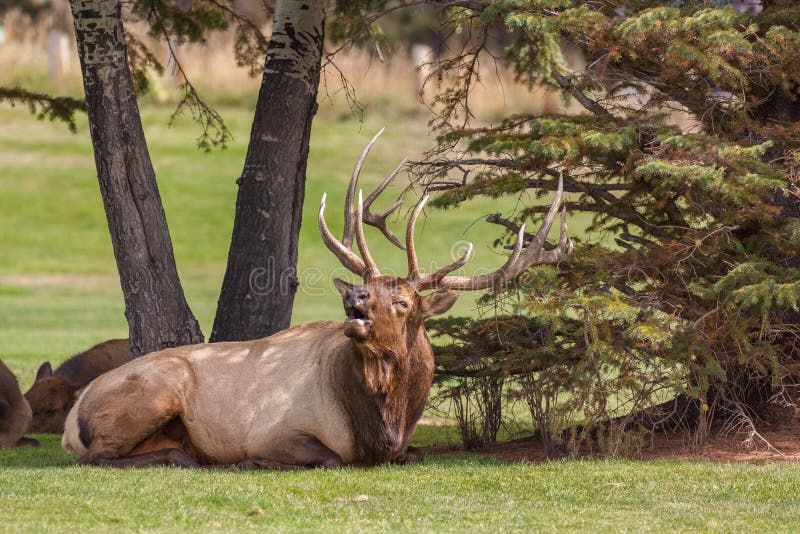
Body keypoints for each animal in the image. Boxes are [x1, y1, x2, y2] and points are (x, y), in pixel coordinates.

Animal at [61, 131, 569, 468]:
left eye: (403, 302)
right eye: (369, 286)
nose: (356, 297)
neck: (383, 423)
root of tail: (70, 420)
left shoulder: (405, 447)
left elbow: (415, 455)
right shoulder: (272, 430)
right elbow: (330, 458)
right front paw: (251, 462)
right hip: (155, 391)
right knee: (99, 457)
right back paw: (183, 458)